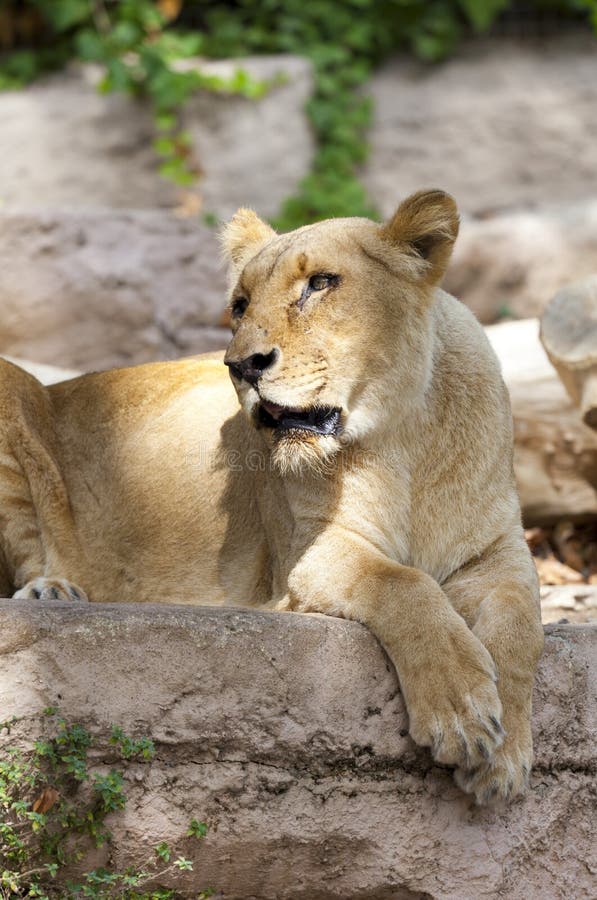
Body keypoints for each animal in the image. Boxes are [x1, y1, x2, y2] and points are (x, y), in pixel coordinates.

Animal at [0, 189, 543, 805]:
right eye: (239, 305)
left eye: (320, 284)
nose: (241, 366)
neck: (402, 439)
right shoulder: (308, 552)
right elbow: (406, 585)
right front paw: (461, 713)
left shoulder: (499, 553)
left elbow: (519, 627)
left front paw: (504, 755)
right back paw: (51, 591)